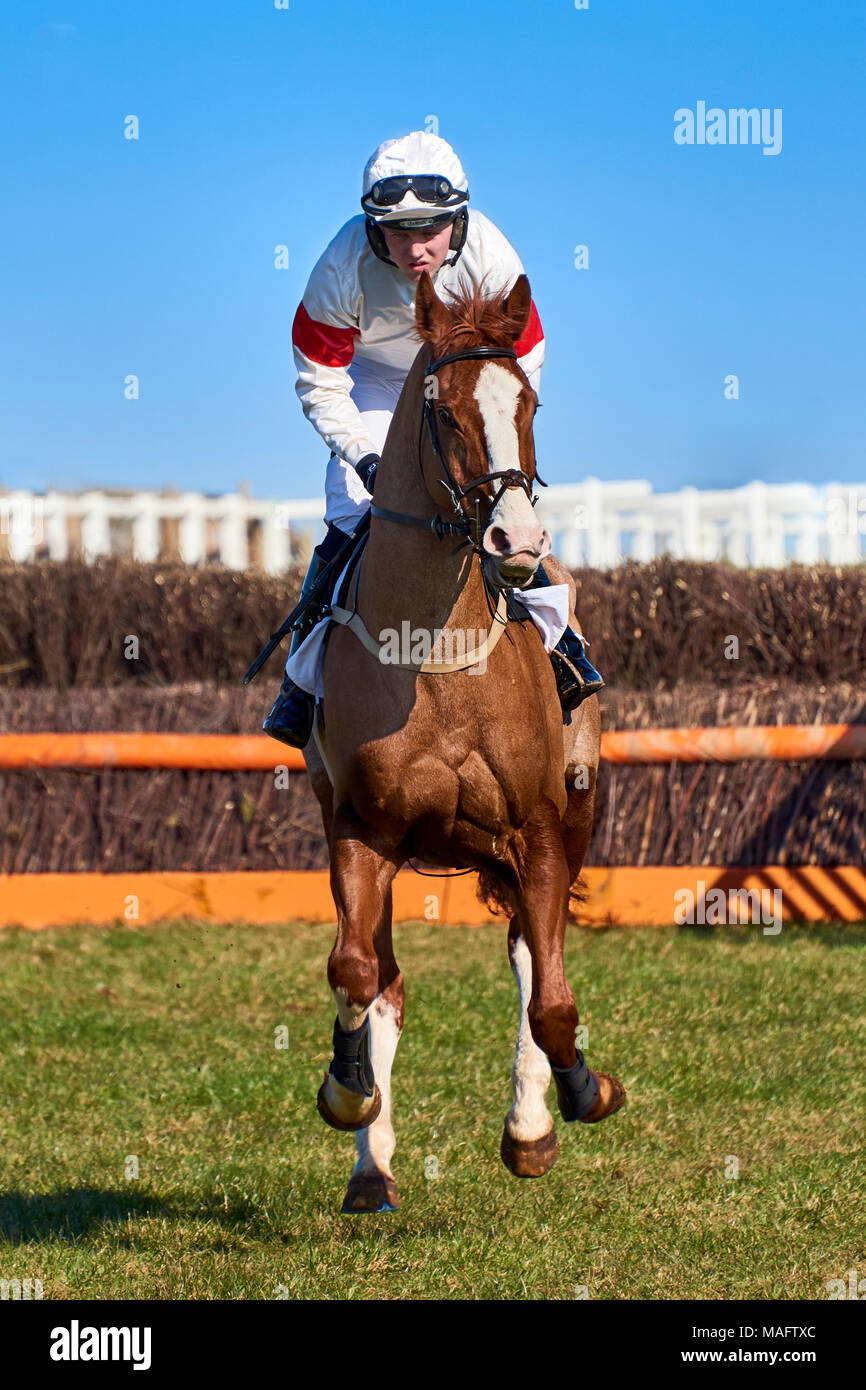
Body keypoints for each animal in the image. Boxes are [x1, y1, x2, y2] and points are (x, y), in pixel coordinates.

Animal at [303, 269, 626, 1213]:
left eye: (528, 402)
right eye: (444, 411)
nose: (515, 539)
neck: (433, 655)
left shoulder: (540, 830)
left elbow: (550, 998)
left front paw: (575, 1097)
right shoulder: (359, 830)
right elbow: (356, 974)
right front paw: (348, 1096)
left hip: (566, 822)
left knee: (529, 957)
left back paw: (532, 1123)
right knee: (386, 980)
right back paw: (372, 1170)